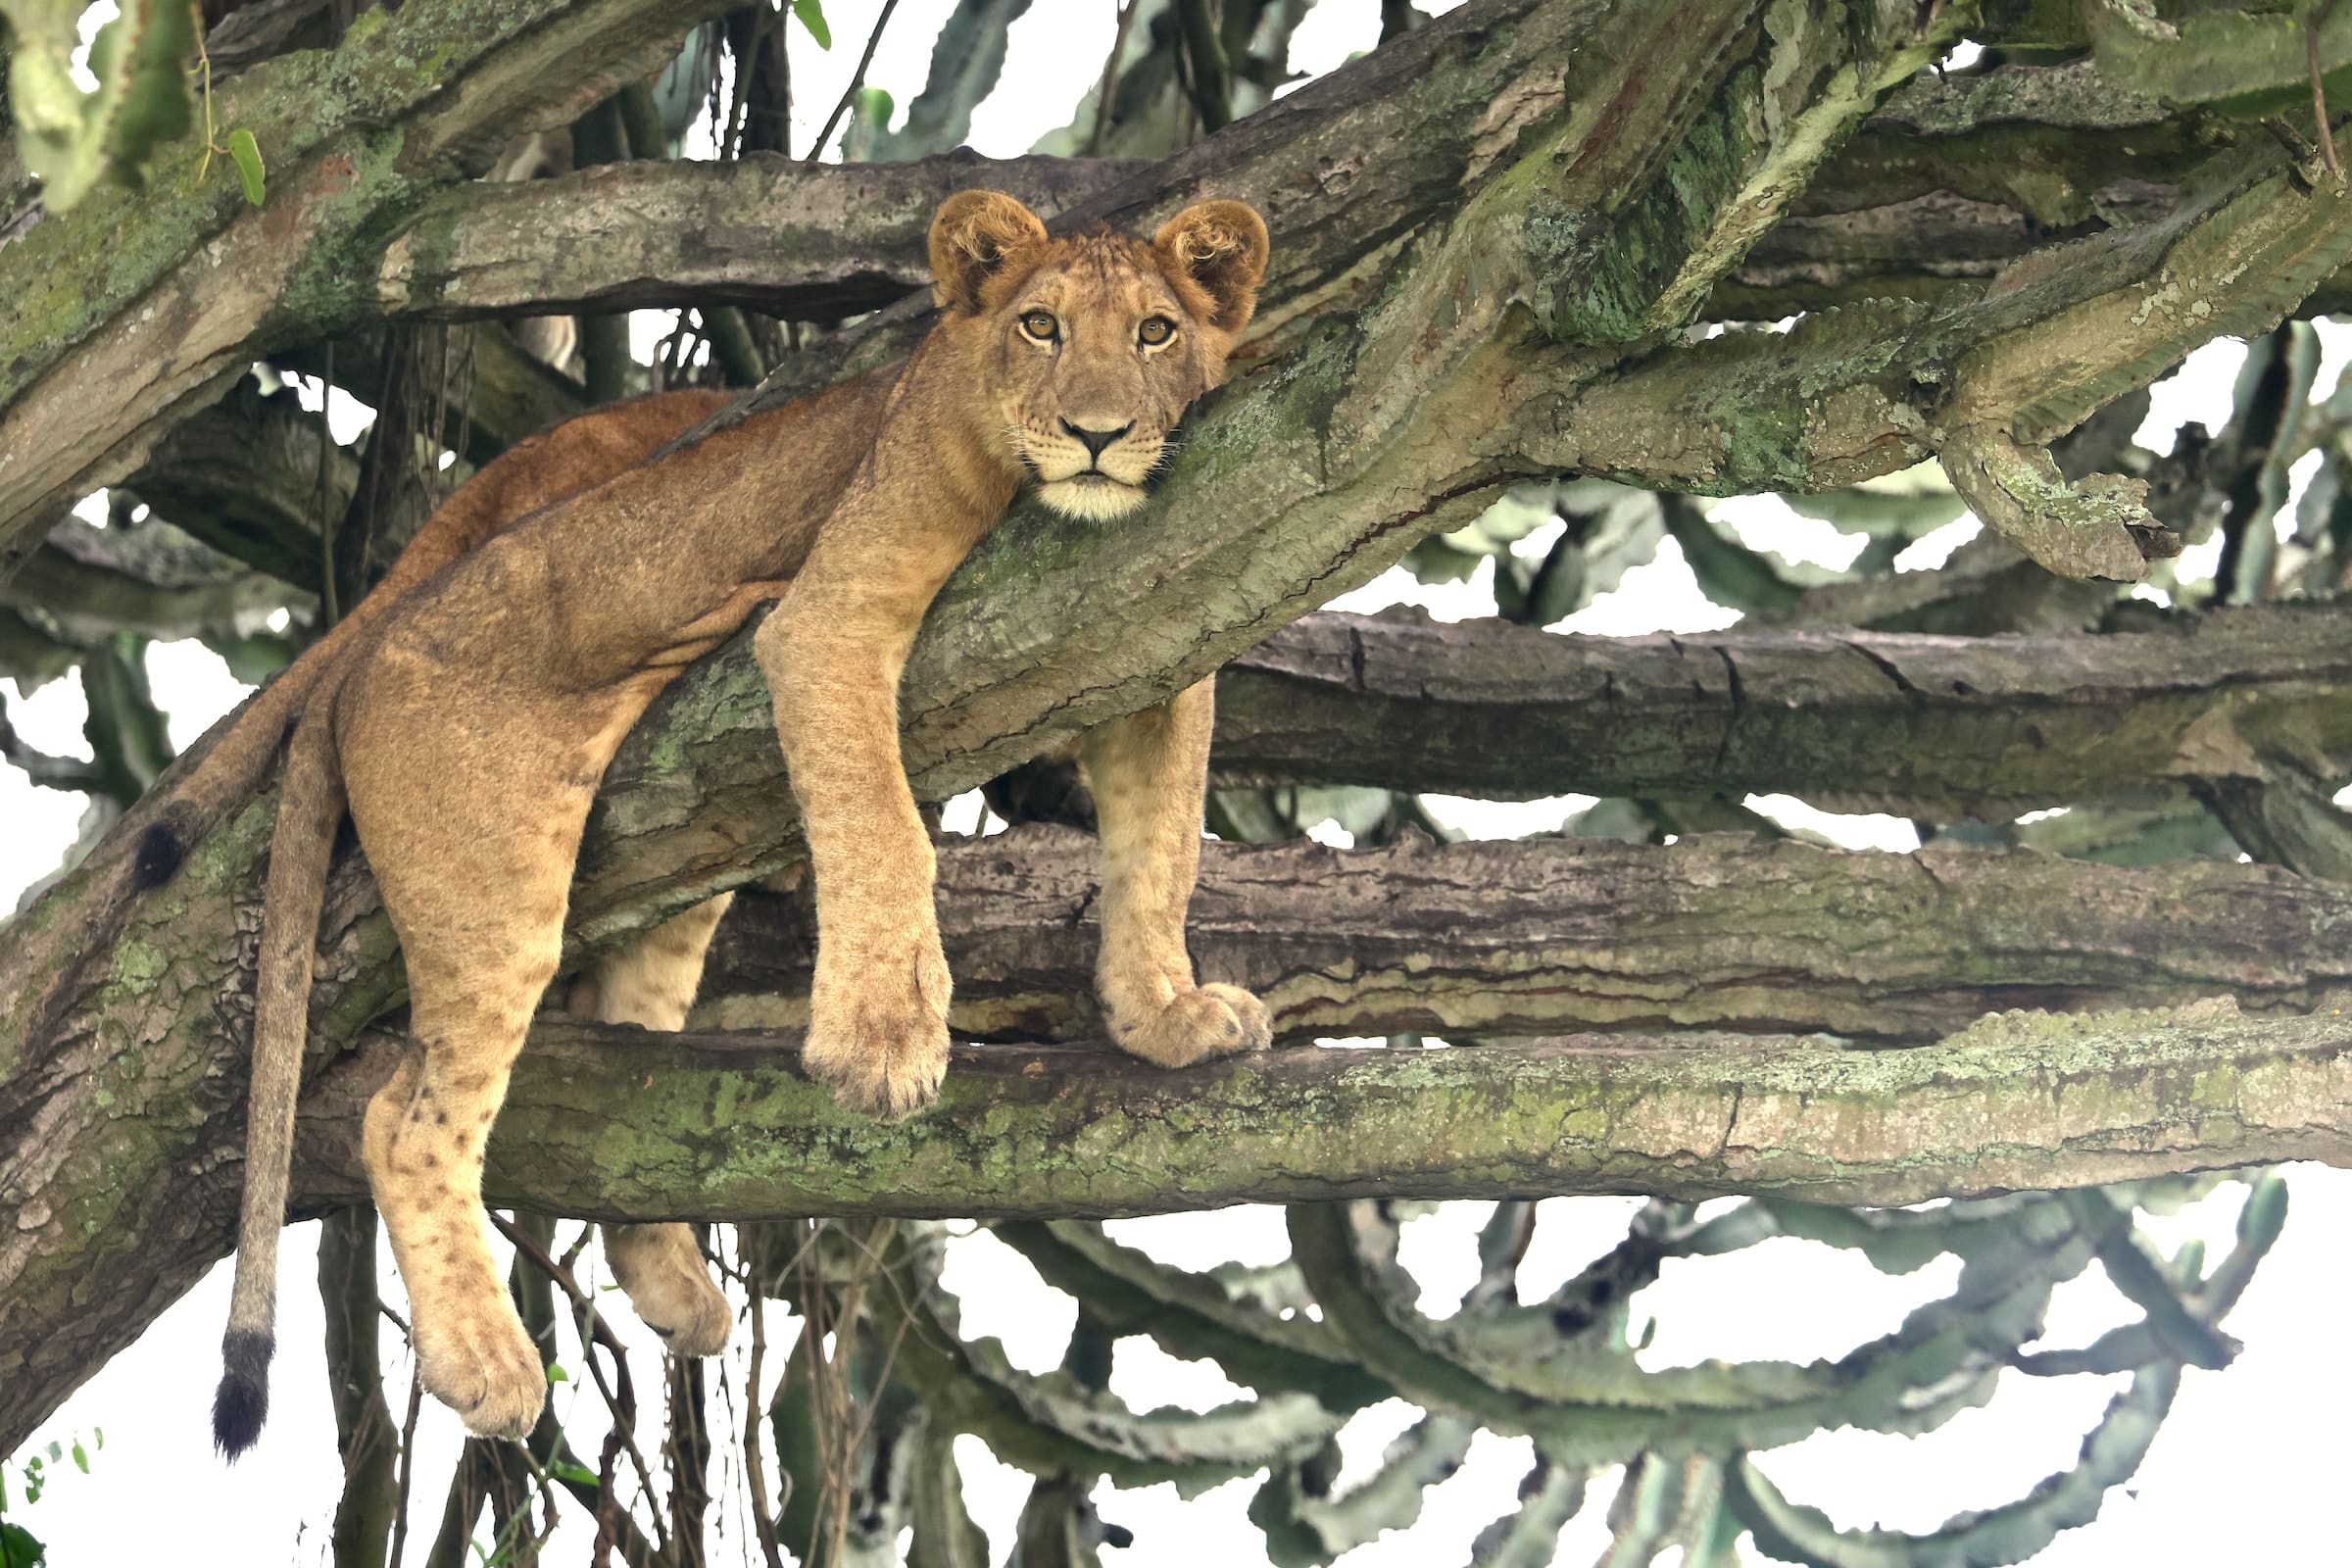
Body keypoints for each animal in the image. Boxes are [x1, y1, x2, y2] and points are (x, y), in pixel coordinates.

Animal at [189, 191, 1274, 1455]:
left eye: (1156, 332)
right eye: (1040, 325)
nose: (1098, 433)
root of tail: (363, 657)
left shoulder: (1161, 641)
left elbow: (1166, 845)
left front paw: (1164, 1016)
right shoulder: (830, 615)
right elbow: (883, 822)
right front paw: (884, 1041)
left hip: (663, 901)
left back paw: (669, 1278)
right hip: (493, 891)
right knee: (403, 1124)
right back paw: (486, 1363)